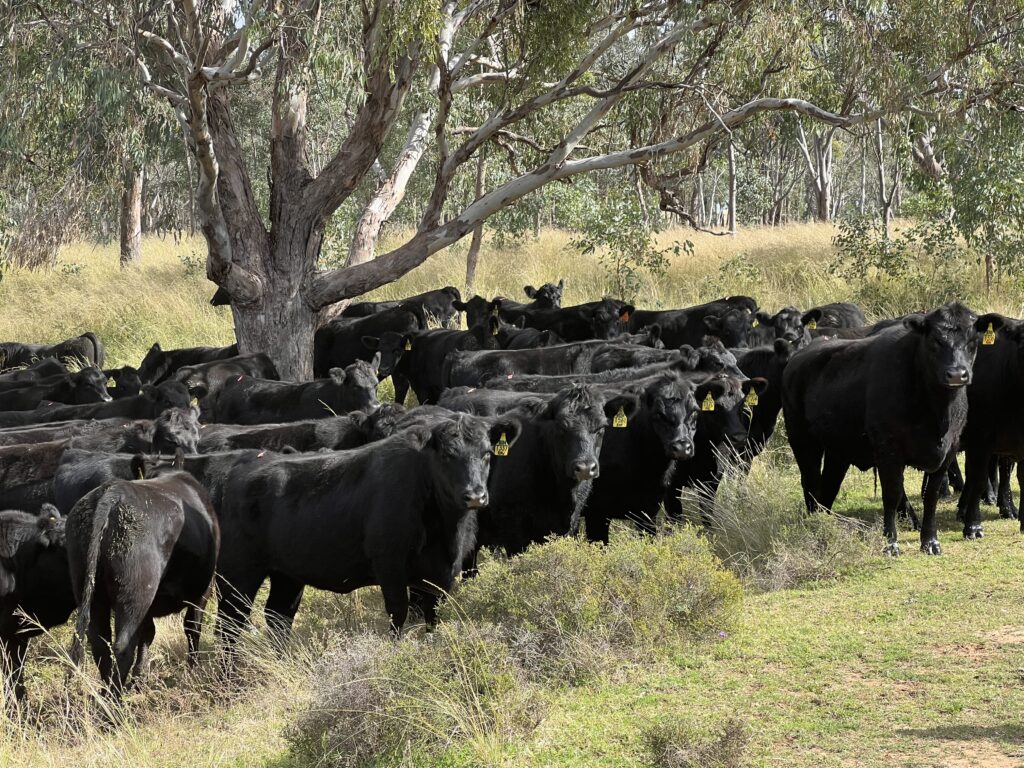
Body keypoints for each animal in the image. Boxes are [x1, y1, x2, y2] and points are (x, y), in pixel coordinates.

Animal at [67, 463, 219, 698]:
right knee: (122, 645)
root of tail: (112, 492)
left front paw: (140, 678)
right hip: (136, 595)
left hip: (92, 590)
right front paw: (193, 669)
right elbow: (192, 627)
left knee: (100, 643)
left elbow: (147, 634)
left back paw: (107, 694)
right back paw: (116, 699)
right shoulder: (202, 591)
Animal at [213, 413, 521, 646]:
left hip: (286, 574)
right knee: (229, 625)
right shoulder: (390, 566)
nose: (475, 496)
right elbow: (398, 615)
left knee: (278, 617)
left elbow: (433, 617)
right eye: (448, 455)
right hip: (238, 576)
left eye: (486, 454)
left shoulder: (440, 576)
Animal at [782, 302, 1002, 555]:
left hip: (838, 451)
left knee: (827, 489)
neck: (936, 411)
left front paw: (930, 541)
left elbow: (931, 496)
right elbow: (892, 494)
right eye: (935, 340)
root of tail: (798, 357)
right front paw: (890, 542)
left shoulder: (948, 451)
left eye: (973, 340)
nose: (957, 374)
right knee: (810, 483)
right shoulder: (888, 451)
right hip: (803, 442)